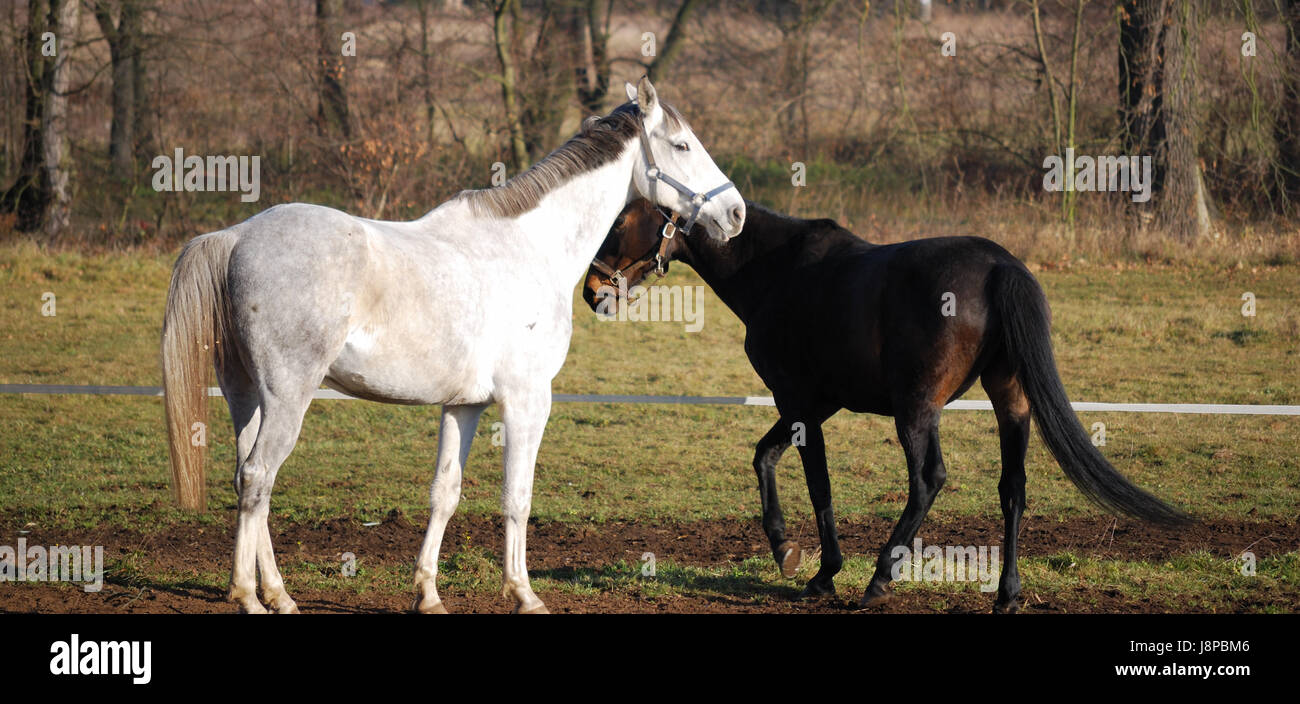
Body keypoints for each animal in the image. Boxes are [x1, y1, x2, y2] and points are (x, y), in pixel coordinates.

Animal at [160, 78, 745, 614]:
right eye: (682, 146)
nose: (736, 213)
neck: (531, 246)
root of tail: (235, 237)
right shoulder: (528, 401)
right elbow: (517, 497)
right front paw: (524, 594)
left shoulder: (464, 406)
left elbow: (445, 494)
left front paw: (428, 594)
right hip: (287, 397)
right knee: (259, 477)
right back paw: (250, 596)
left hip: (246, 397)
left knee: (245, 477)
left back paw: (276, 594)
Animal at [583, 198, 1189, 613]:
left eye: (618, 224)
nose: (592, 291)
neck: (774, 270)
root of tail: (1000, 267)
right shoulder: (820, 402)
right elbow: (764, 456)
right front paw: (784, 548)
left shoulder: (797, 399)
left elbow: (818, 484)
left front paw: (822, 571)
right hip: (1008, 401)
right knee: (1012, 490)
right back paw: (1007, 593)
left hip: (916, 410)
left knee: (929, 480)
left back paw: (881, 577)